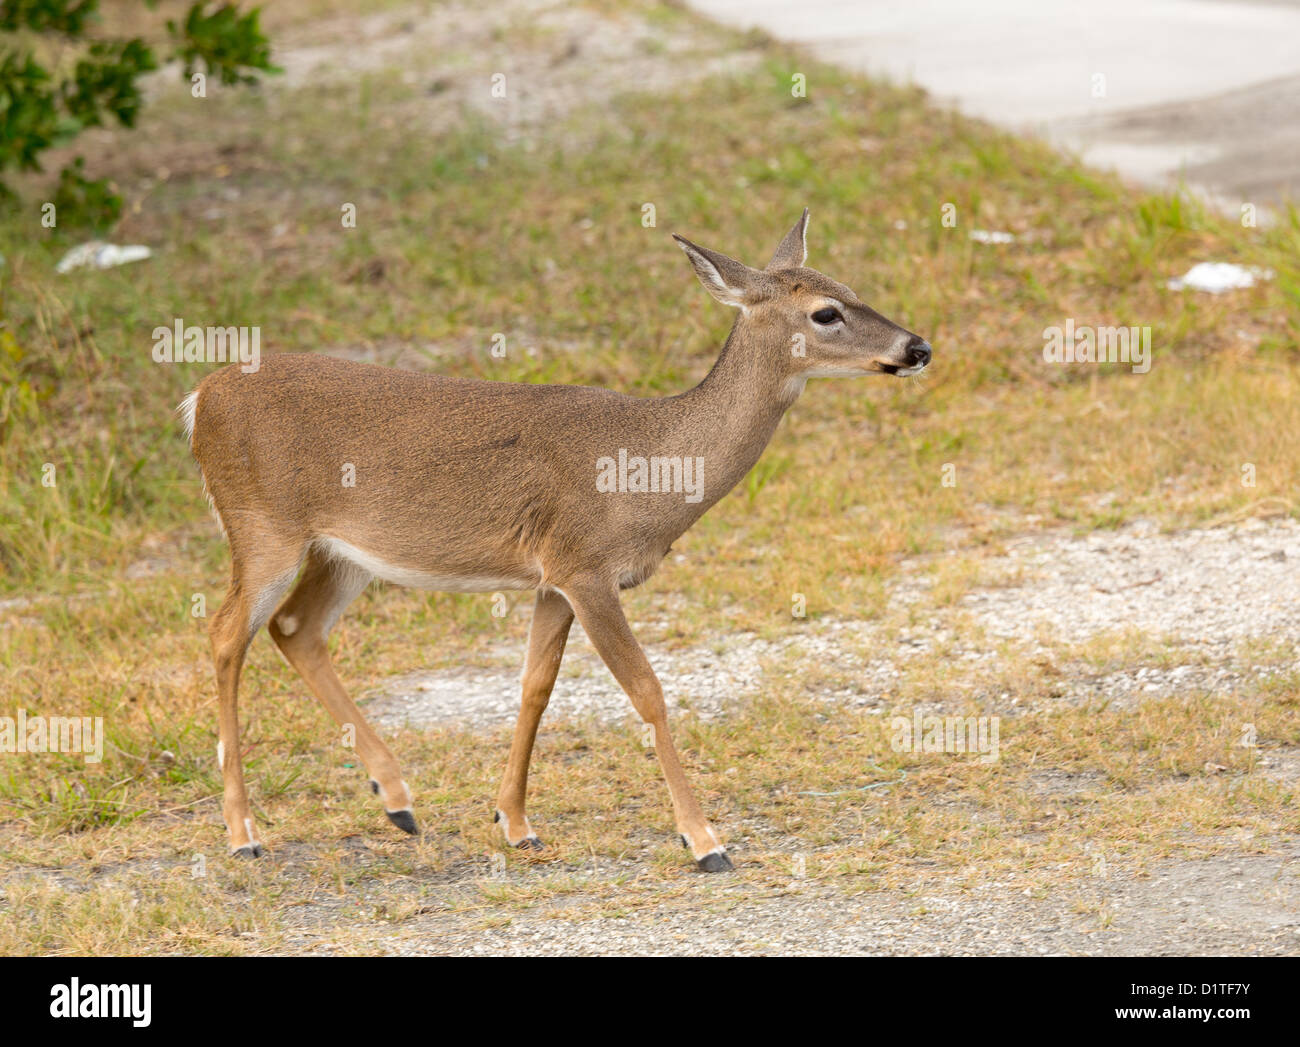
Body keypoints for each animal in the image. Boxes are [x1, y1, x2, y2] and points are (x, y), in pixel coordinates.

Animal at [181, 210, 932, 872]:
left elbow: (536, 685)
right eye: (825, 313)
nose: (917, 347)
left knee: (295, 627)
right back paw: (244, 834)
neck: (651, 469)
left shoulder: (552, 575)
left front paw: (515, 823)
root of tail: (199, 397)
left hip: (342, 551)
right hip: (262, 526)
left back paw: (397, 800)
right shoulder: (587, 565)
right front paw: (705, 841)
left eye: (854, 289)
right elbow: (647, 691)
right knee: (226, 633)